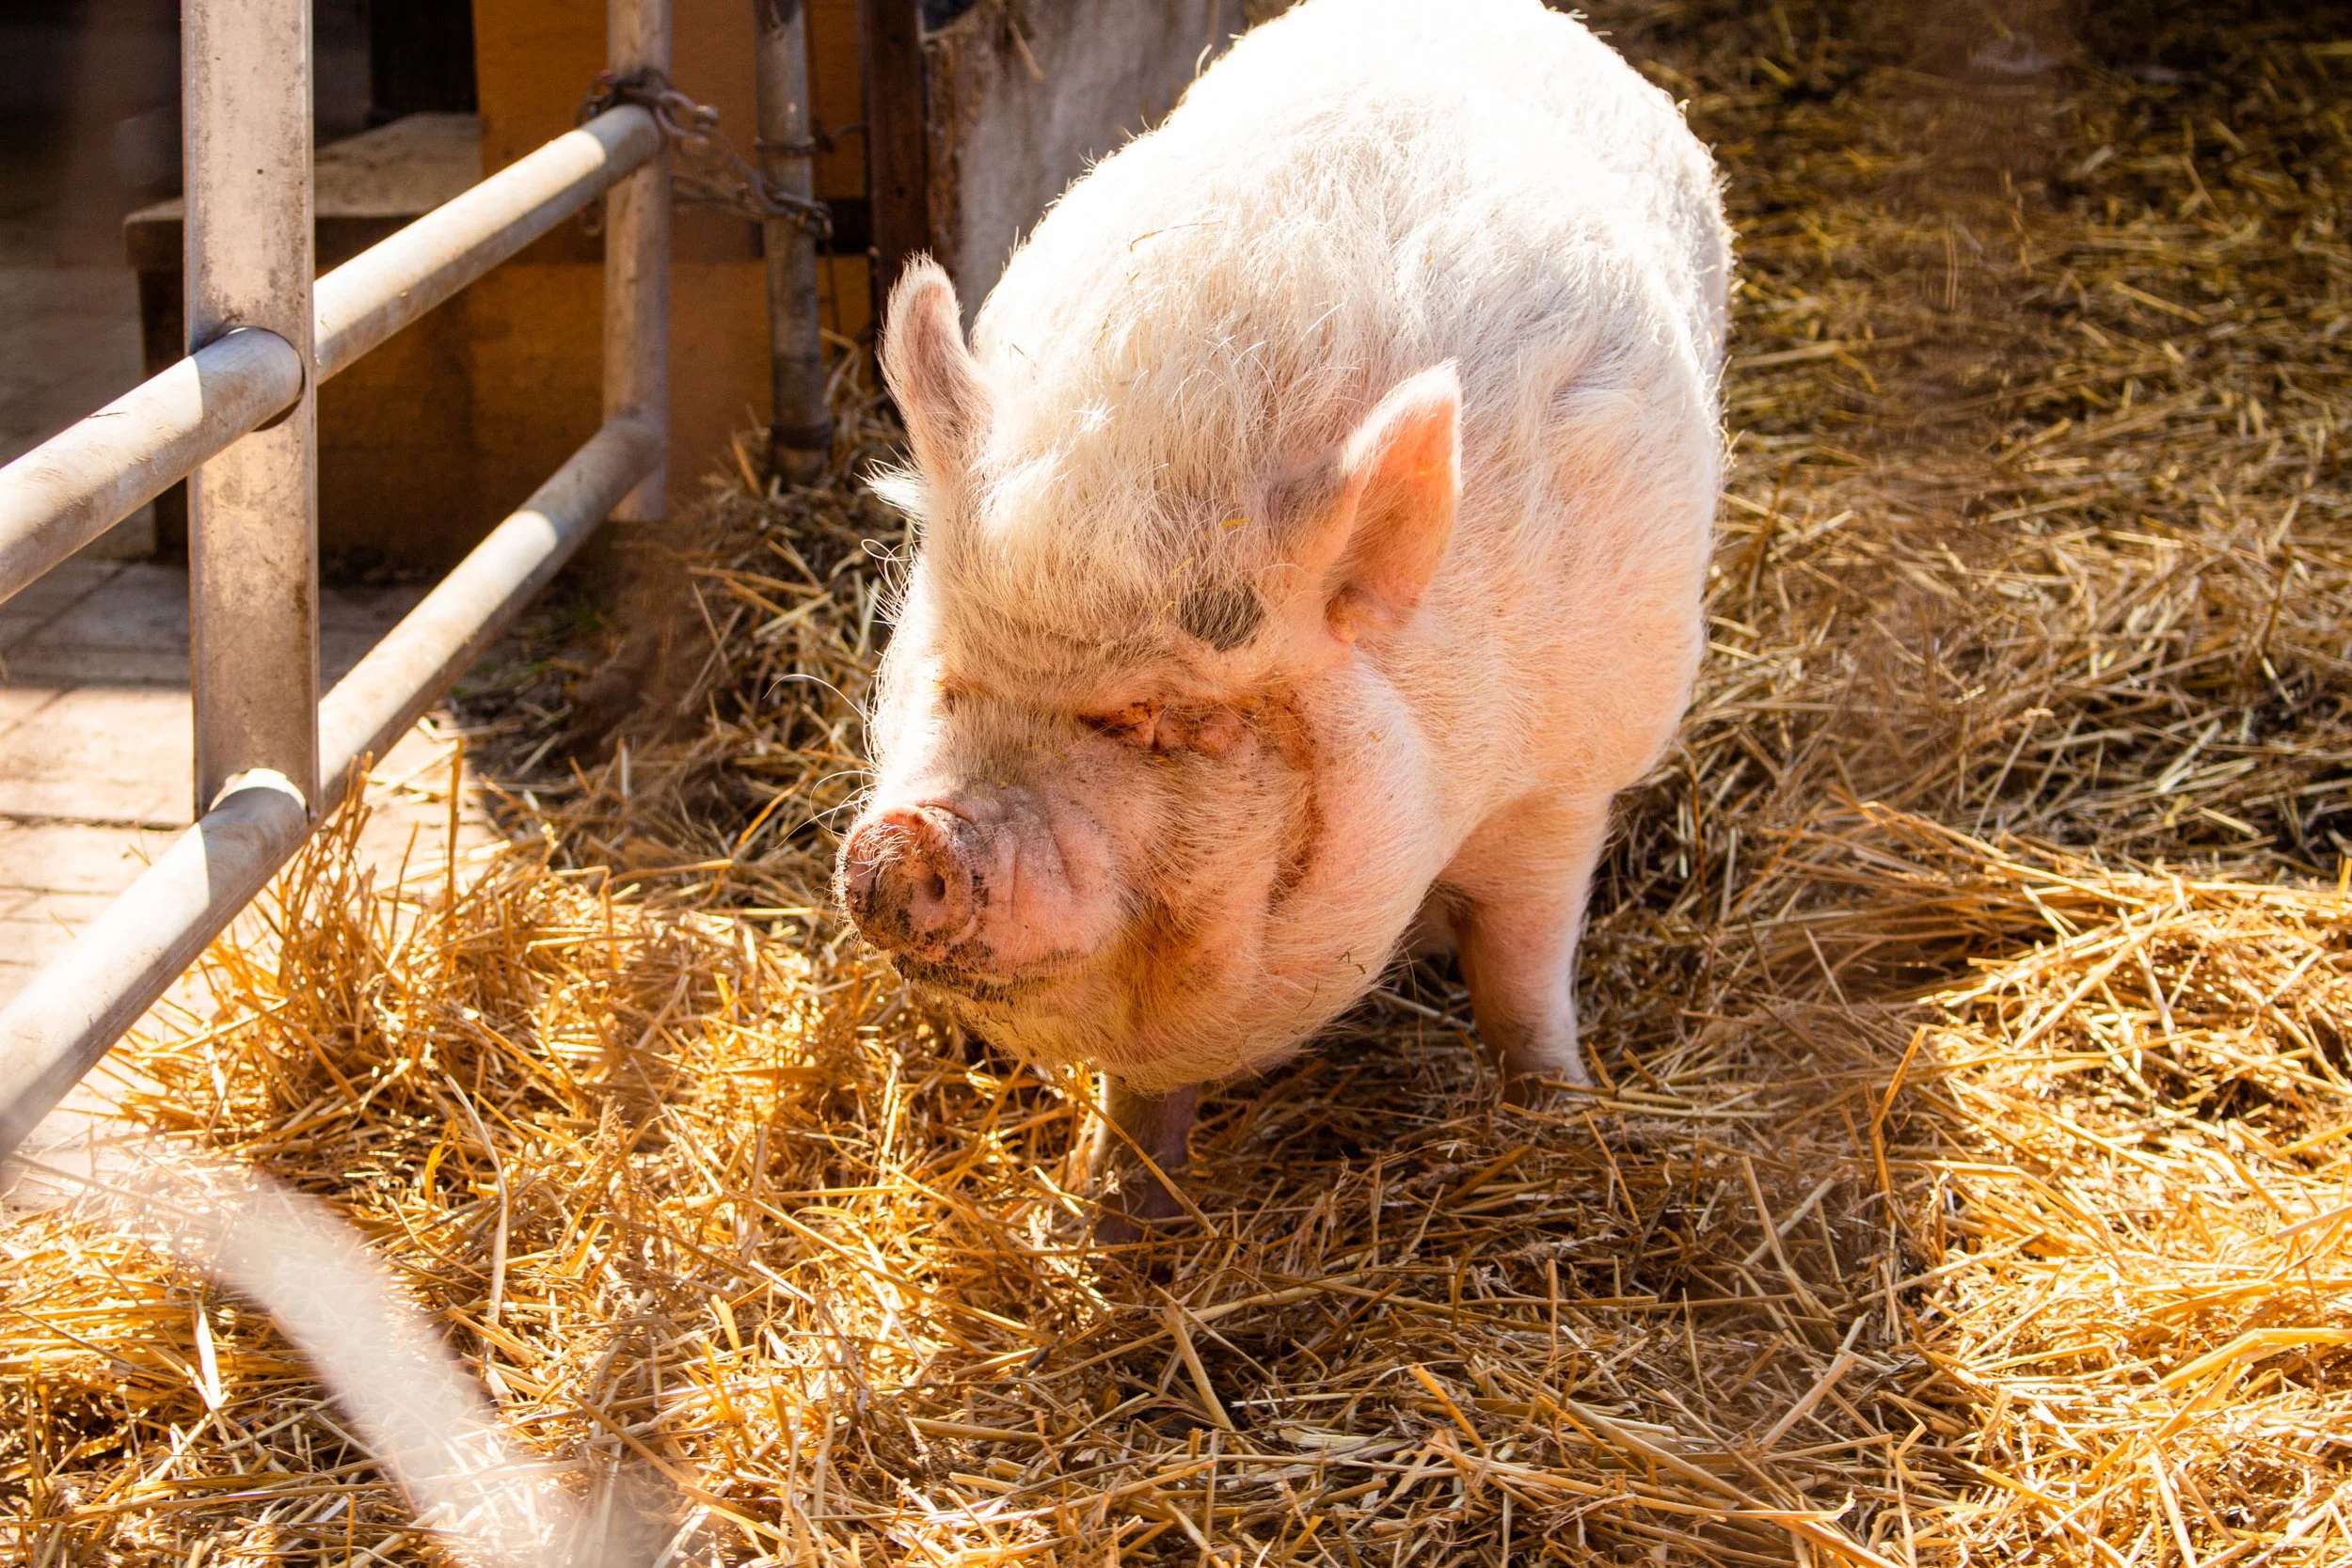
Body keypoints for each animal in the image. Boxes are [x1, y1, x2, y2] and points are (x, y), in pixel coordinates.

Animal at [837, 0, 1729, 1228]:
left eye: (1164, 719)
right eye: (949, 676)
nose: (904, 840)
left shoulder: (1562, 780)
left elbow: (1522, 972)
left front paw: (1562, 1115)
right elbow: (1140, 1091)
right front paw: (1111, 1216)